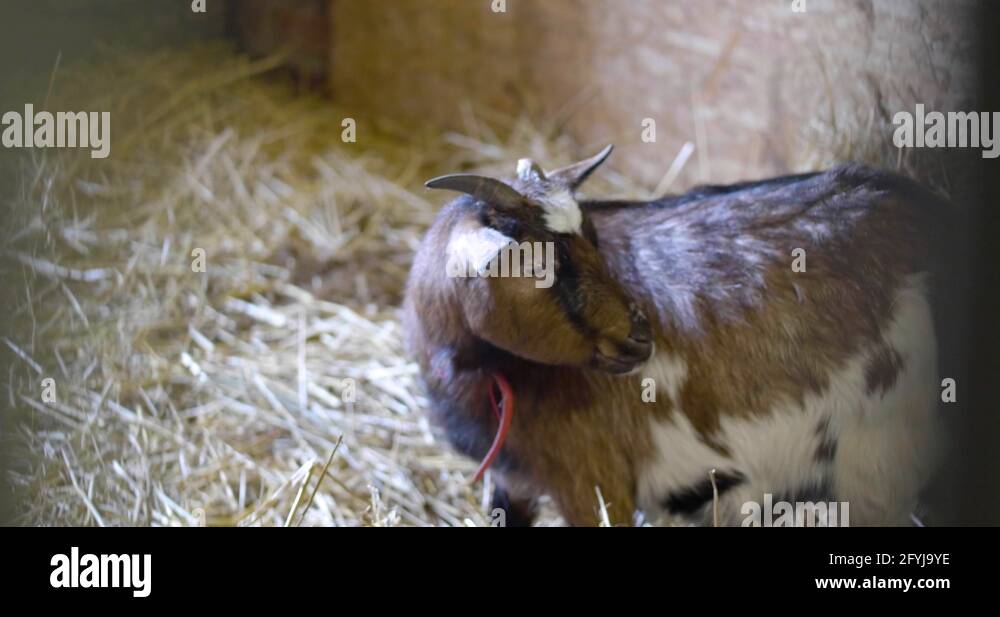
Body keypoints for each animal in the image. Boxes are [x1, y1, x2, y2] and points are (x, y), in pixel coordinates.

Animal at [403, 145, 942, 526]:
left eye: (593, 237)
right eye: (536, 266)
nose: (640, 338)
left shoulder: (595, 482)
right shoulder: (513, 480)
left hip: (879, 452)